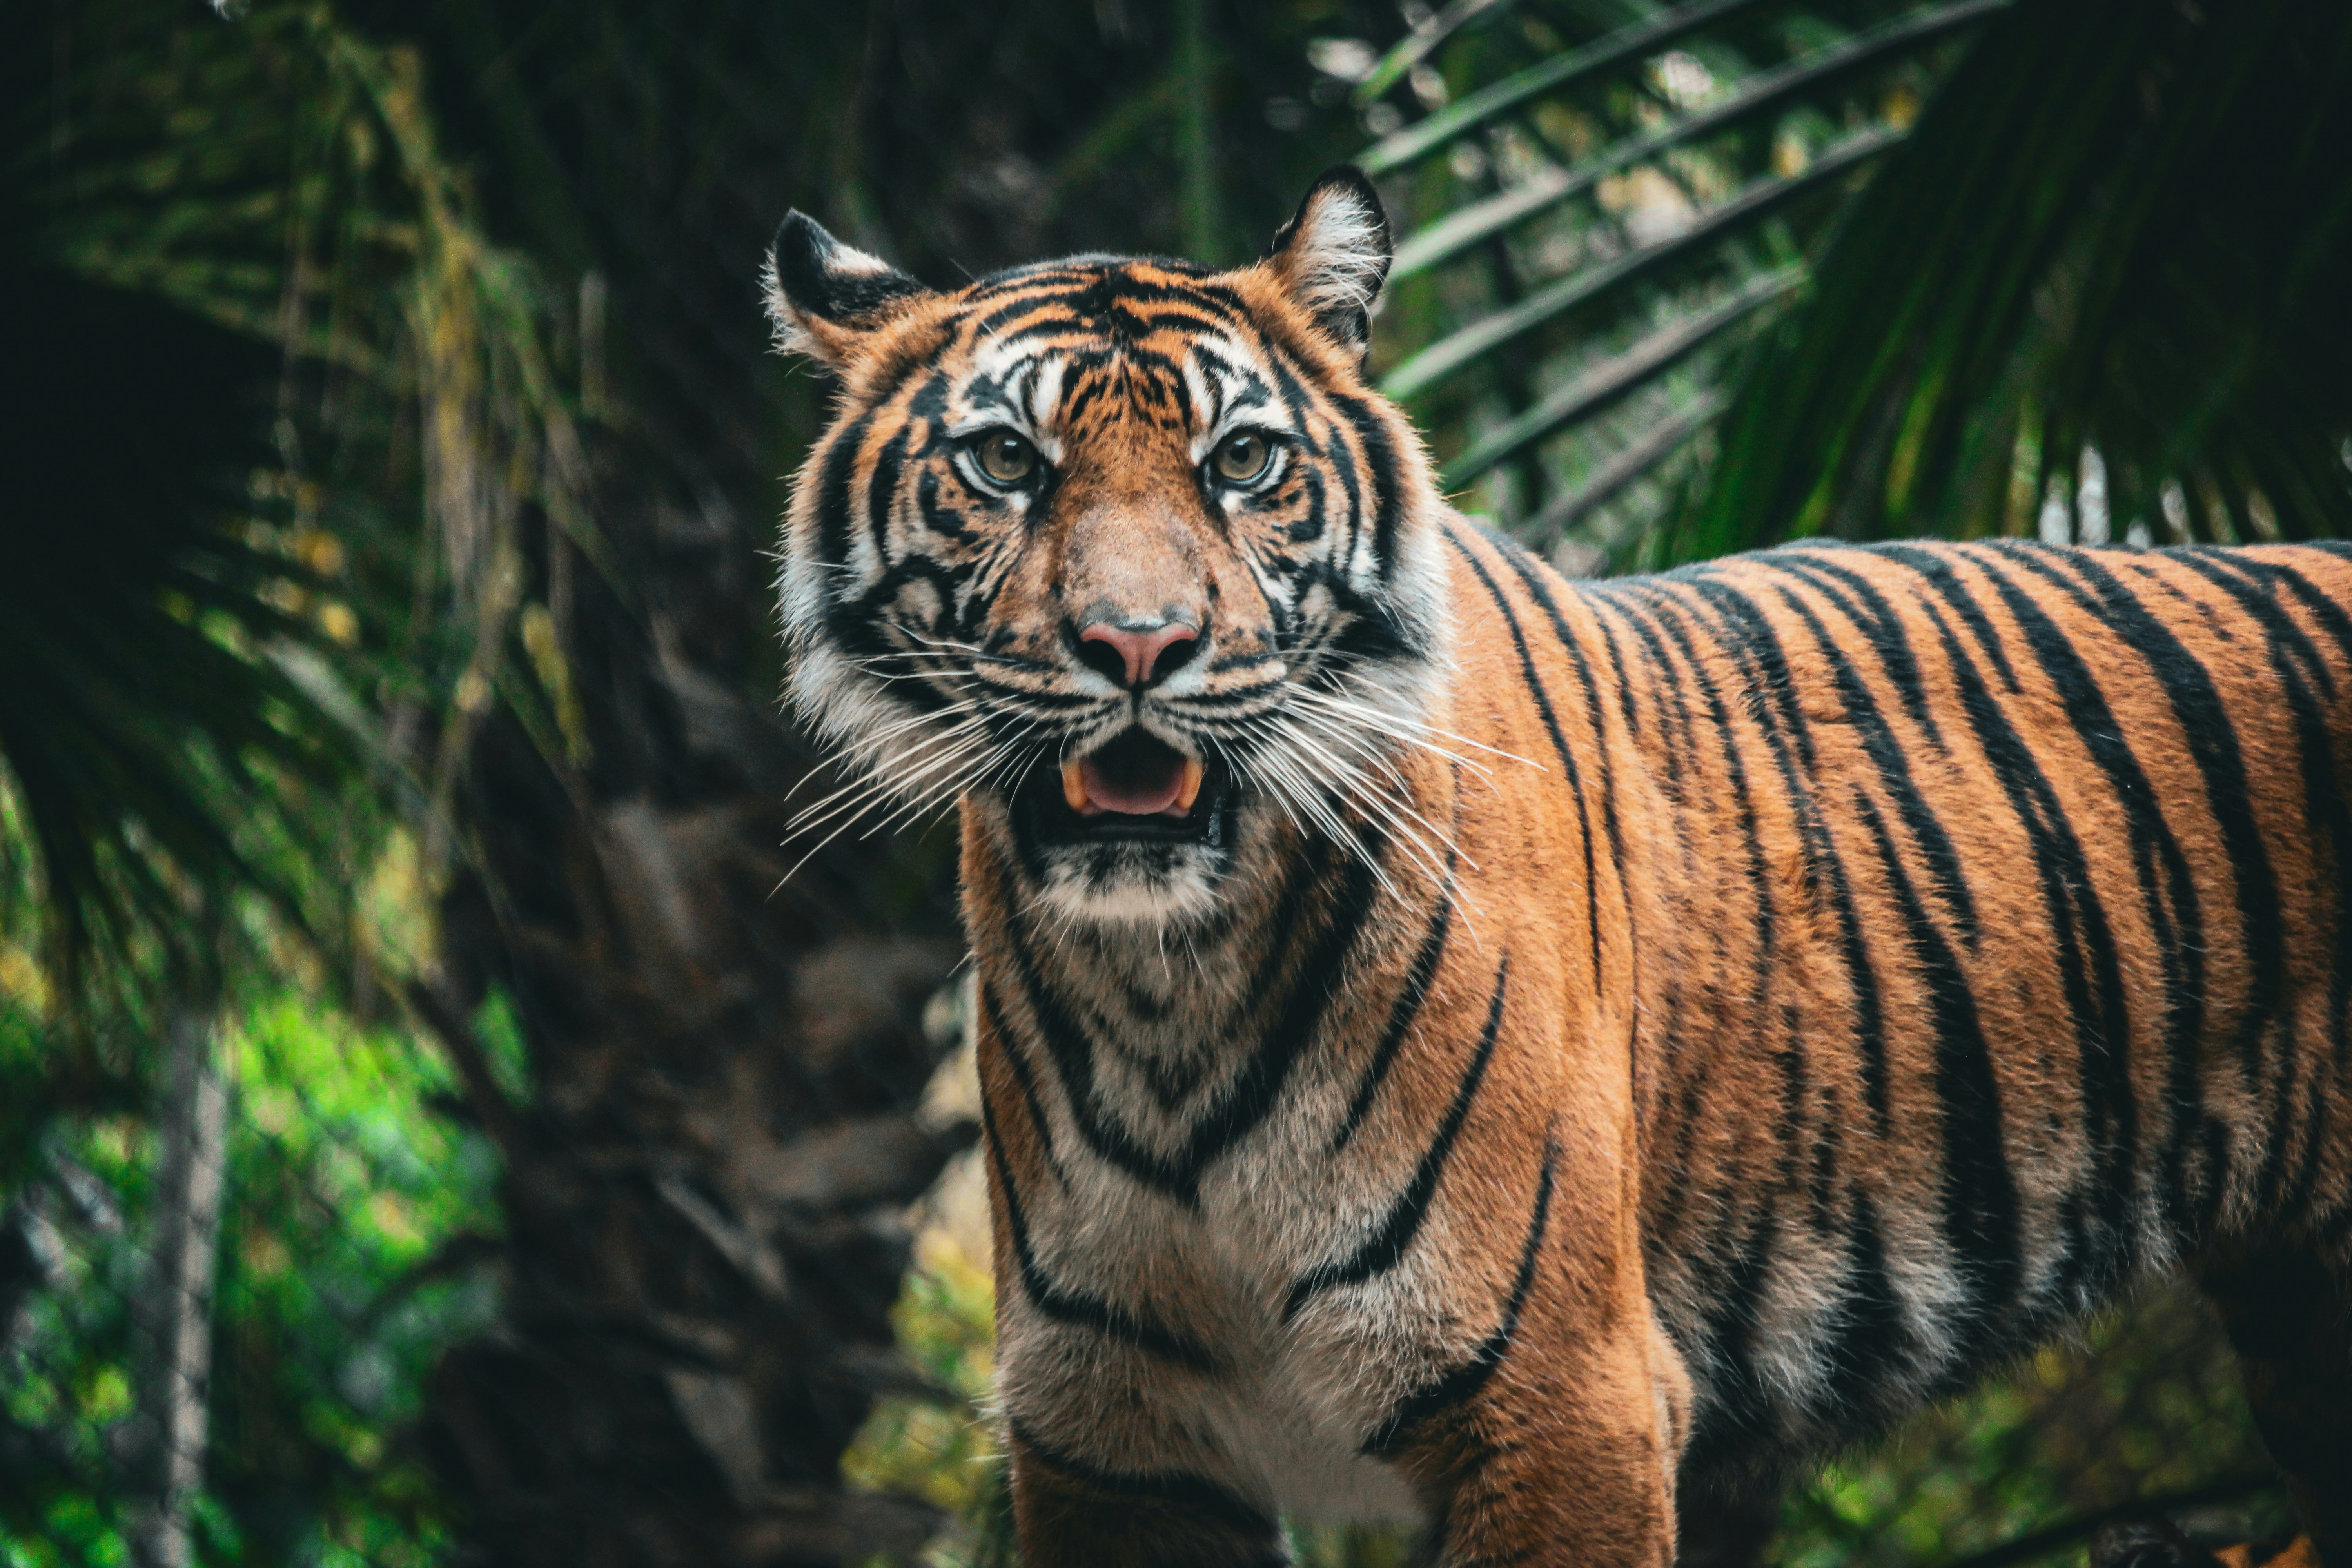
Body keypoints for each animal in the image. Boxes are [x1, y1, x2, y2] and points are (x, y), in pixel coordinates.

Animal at [763, 166, 2352, 1567]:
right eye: (1005, 464)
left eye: (1243, 463)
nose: (1140, 645)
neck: (1165, 986)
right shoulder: (1112, 1437)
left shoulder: (1560, 1393)